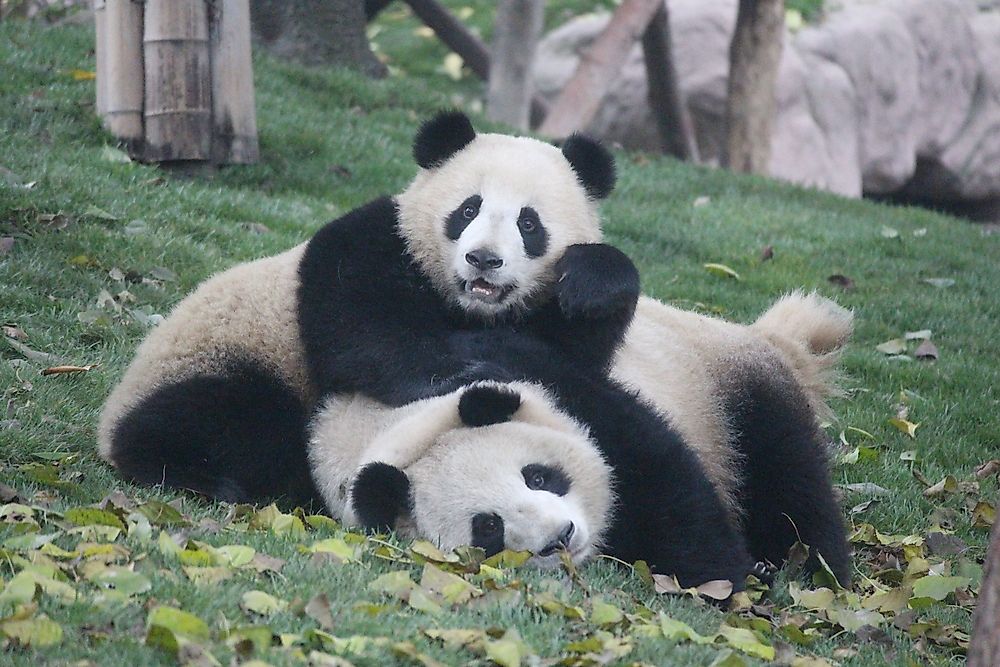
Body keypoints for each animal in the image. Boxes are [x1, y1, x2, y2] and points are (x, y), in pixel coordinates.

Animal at [97, 110, 636, 507]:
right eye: (468, 209)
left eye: (529, 223)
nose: (483, 259)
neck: (467, 308)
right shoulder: (376, 243)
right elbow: (364, 335)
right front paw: (466, 371)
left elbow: (569, 358)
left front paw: (592, 283)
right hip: (223, 357)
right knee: (227, 418)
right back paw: (203, 475)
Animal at [308, 292, 853, 588]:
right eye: (487, 527)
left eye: (538, 476)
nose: (561, 537)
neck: (392, 423)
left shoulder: (553, 384)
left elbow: (664, 482)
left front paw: (717, 579)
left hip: (725, 394)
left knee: (787, 480)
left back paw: (809, 569)